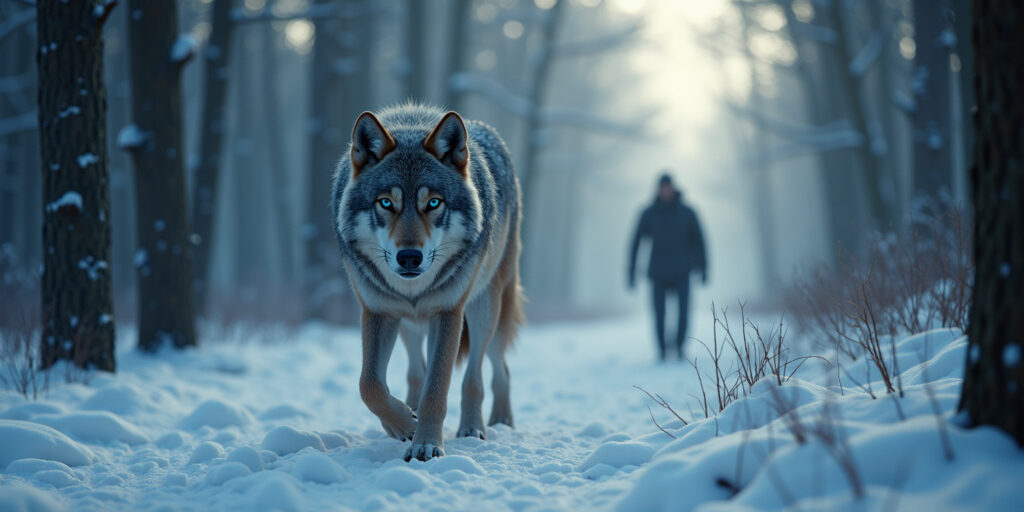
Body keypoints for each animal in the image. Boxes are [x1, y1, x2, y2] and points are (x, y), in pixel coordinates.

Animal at [331, 103, 523, 461]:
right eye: (386, 202)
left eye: (433, 202)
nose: (409, 257)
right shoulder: (378, 312)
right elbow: (369, 384)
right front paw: (404, 424)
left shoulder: (448, 312)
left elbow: (437, 390)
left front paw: (427, 445)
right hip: (411, 325)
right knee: (415, 373)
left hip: (484, 308)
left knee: (488, 371)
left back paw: (486, 425)